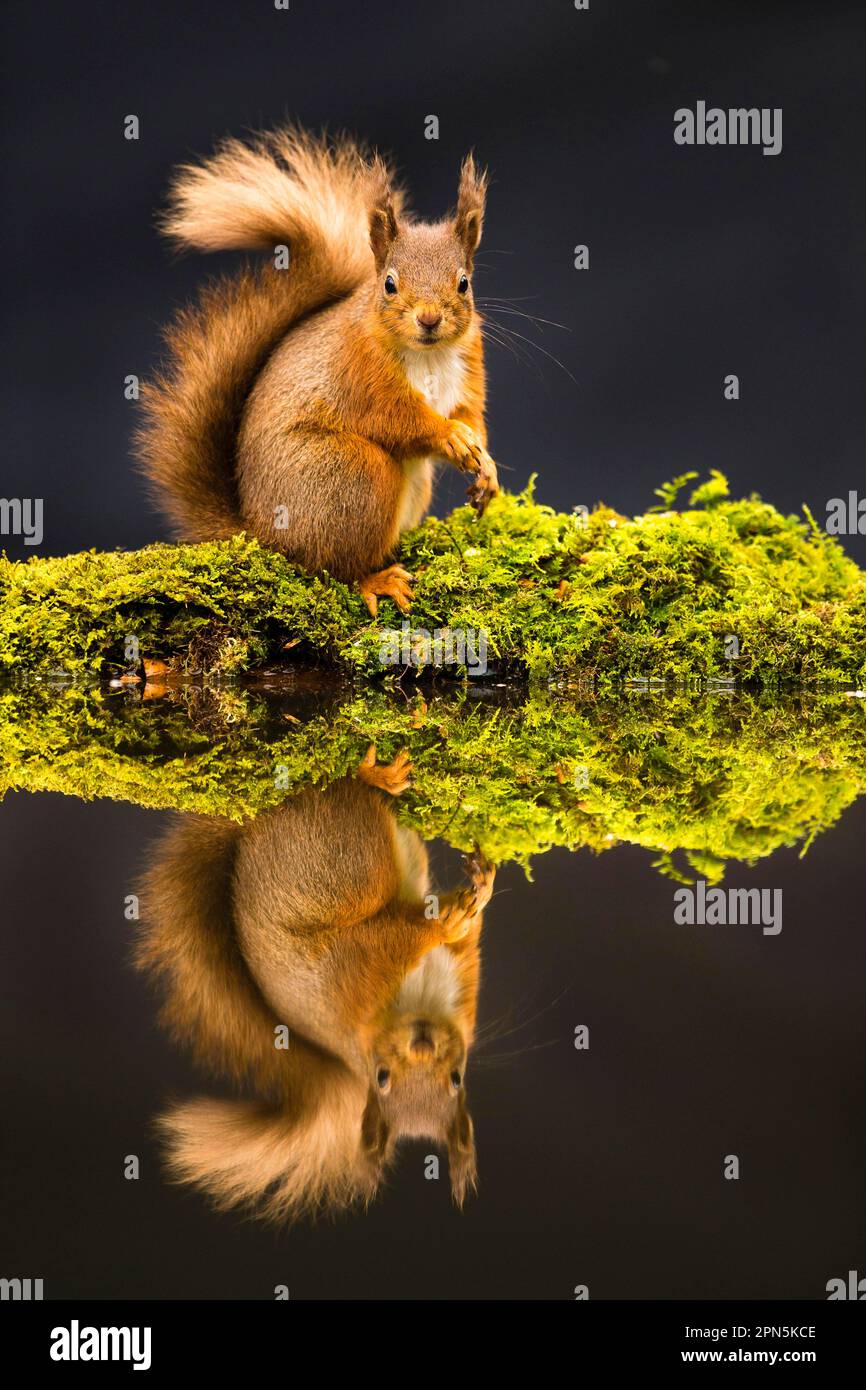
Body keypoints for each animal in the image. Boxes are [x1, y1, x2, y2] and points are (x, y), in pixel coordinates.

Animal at [138, 127, 497, 617]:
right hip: (351, 476)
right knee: (333, 569)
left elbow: (470, 414)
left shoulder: (468, 365)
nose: (428, 318)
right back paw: (376, 579)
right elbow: (398, 419)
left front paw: (486, 467)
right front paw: (449, 436)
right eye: (389, 283)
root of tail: (262, 536)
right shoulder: (359, 371)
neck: (426, 355)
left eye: (464, 283)